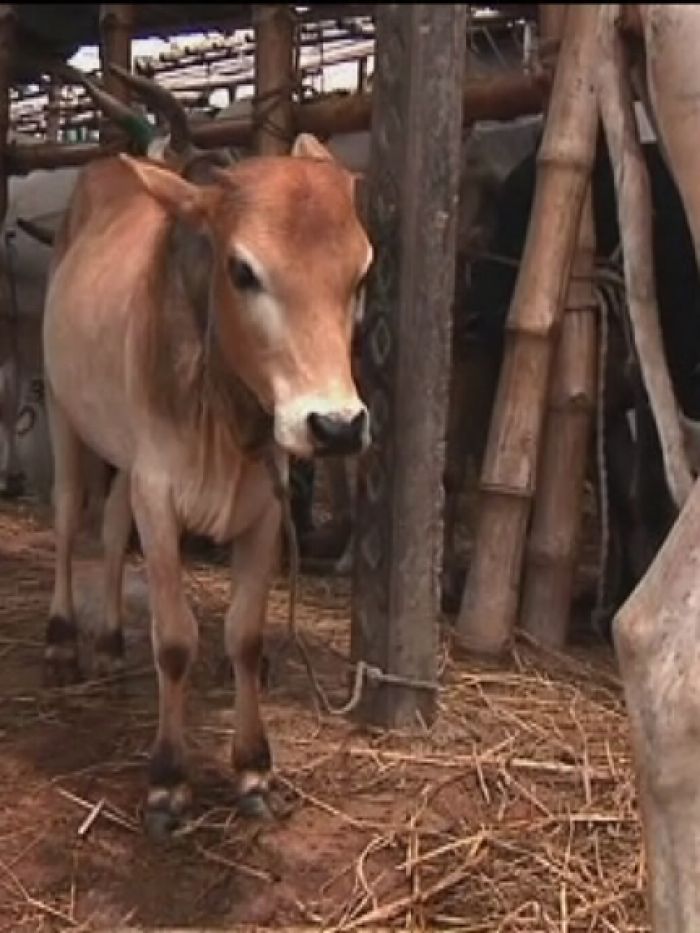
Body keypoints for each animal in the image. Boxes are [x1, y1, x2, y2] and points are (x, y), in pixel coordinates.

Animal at [42, 131, 372, 837]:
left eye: (360, 273)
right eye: (243, 271)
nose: (336, 426)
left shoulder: (265, 509)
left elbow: (244, 638)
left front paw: (253, 769)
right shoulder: (159, 494)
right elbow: (175, 641)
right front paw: (168, 782)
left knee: (111, 525)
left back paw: (109, 643)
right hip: (63, 406)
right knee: (68, 514)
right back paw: (63, 640)